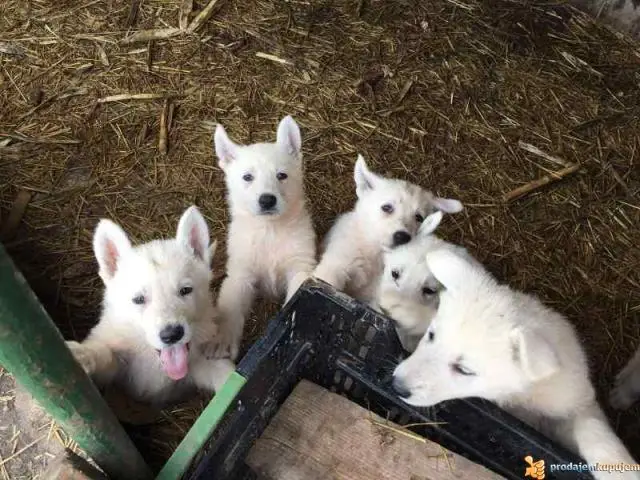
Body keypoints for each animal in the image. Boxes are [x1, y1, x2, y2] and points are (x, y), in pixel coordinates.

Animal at [65, 204, 235, 406]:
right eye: (138, 299)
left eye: (185, 290)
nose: (172, 335)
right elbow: (104, 353)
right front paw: (80, 354)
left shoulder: (199, 361)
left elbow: (226, 374)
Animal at [212, 114, 318, 358]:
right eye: (247, 177)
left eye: (282, 175)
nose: (267, 200)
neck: (270, 231)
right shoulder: (240, 274)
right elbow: (231, 307)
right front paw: (223, 340)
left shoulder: (300, 267)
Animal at [392, 249, 636, 478]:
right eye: (431, 335)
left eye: (464, 370)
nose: (398, 387)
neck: (517, 395)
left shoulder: (575, 401)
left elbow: (593, 429)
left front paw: (621, 470)